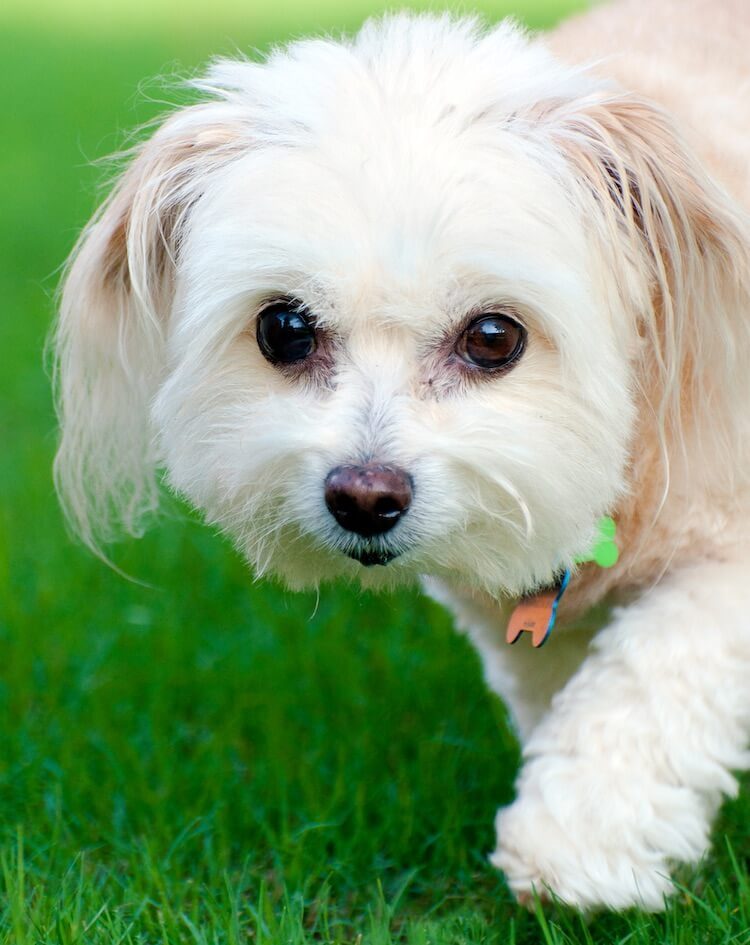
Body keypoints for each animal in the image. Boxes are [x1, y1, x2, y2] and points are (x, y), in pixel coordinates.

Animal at [53, 0, 750, 916]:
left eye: (493, 336)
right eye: (284, 328)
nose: (363, 496)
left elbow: (660, 667)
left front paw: (578, 840)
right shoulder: (520, 610)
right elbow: (567, 682)